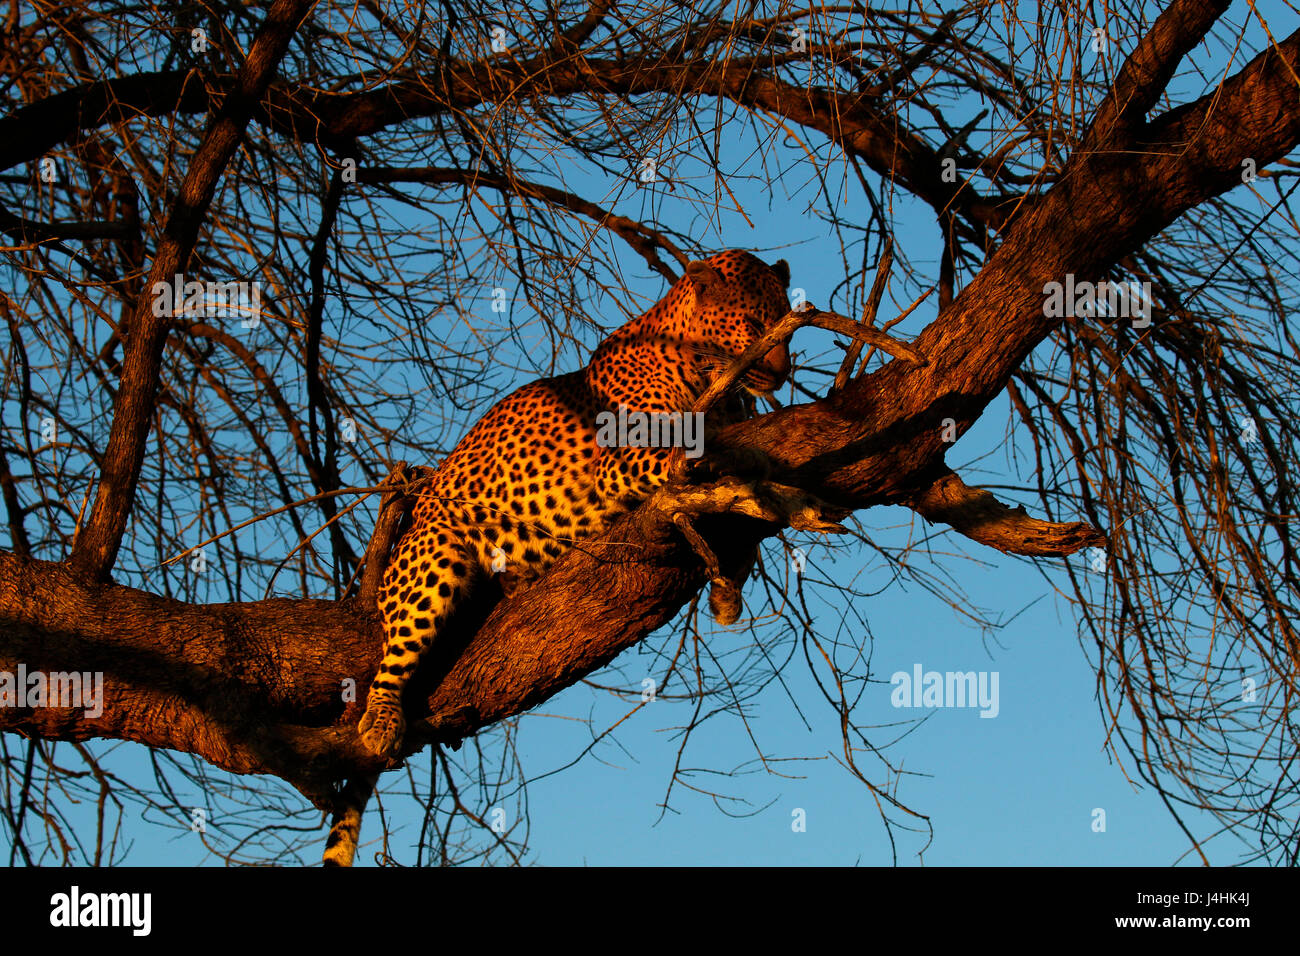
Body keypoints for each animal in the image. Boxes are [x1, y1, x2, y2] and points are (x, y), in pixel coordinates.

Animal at [324, 250, 793, 865]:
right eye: (757, 325)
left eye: (785, 321)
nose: (783, 371)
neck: (700, 369)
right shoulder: (624, 460)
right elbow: (701, 451)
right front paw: (745, 461)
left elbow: (737, 531)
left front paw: (727, 593)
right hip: (430, 561)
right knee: (393, 658)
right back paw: (380, 720)